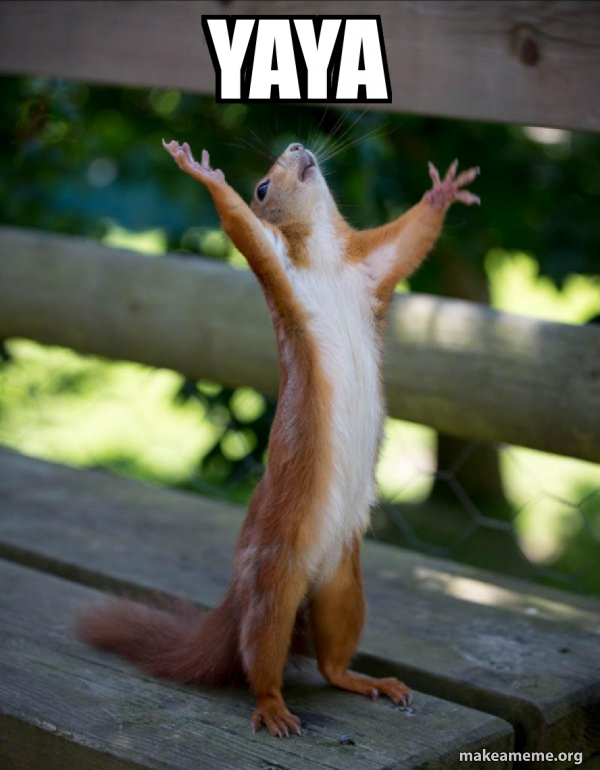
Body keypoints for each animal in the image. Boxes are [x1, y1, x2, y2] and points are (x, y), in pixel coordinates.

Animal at [77, 138, 480, 738]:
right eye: (262, 186)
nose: (296, 146)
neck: (327, 257)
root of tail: (239, 595)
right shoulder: (277, 266)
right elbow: (240, 226)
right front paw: (204, 174)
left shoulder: (372, 267)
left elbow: (409, 240)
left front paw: (443, 192)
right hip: (274, 584)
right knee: (260, 658)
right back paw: (273, 708)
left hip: (344, 586)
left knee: (332, 661)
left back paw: (368, 681)